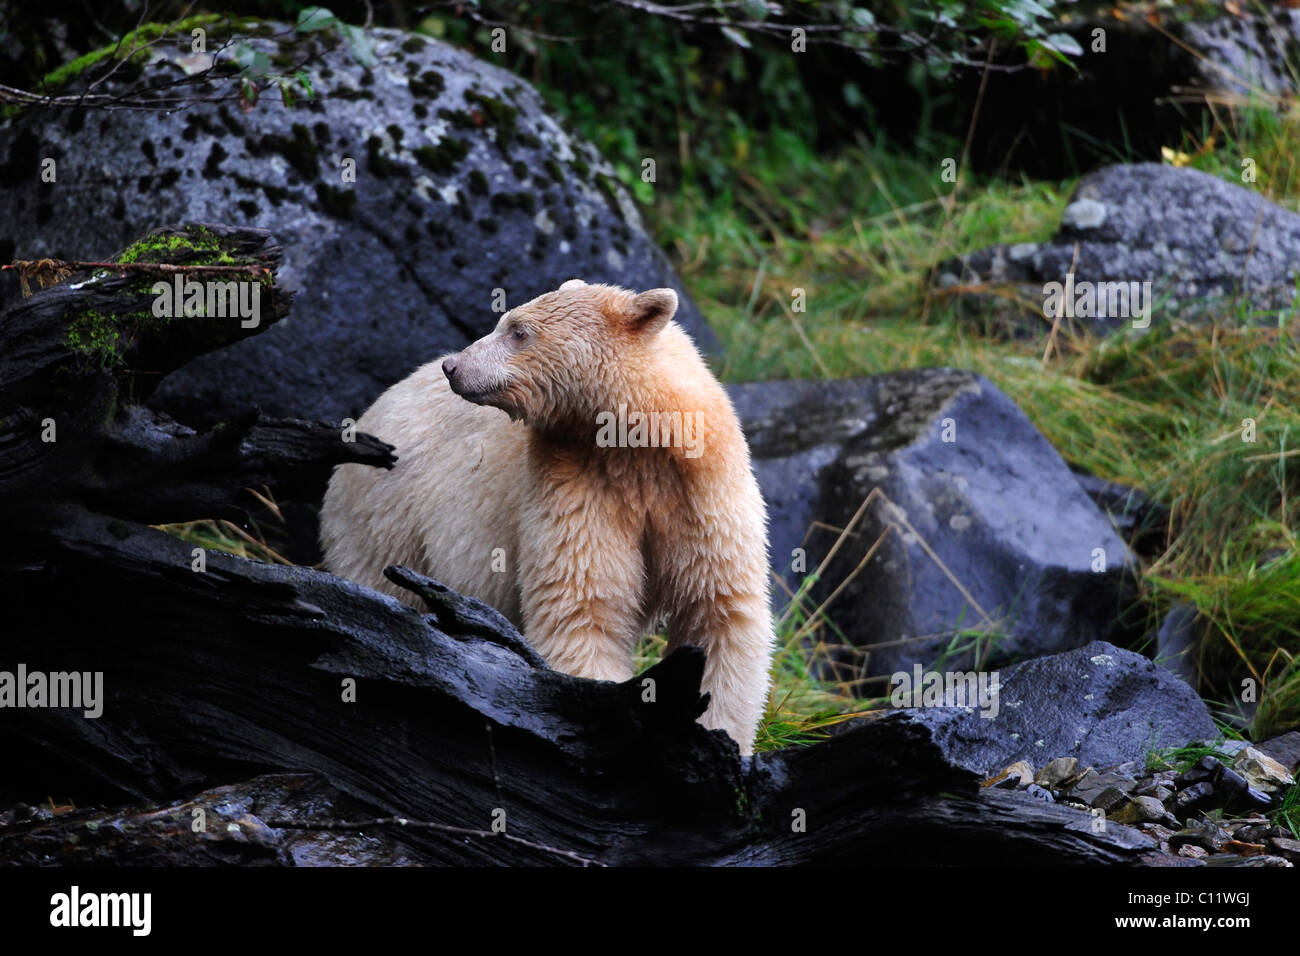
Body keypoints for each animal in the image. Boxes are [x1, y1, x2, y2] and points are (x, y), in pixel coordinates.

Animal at [319, 279, 775, 754]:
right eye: (506, 322)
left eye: (518, 331)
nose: (453, 366)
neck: (636, 440)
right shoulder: (575, 477)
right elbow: (581, 605)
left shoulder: (698, 486)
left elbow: (719, 611)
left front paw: (719, 737)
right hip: (387, 511)